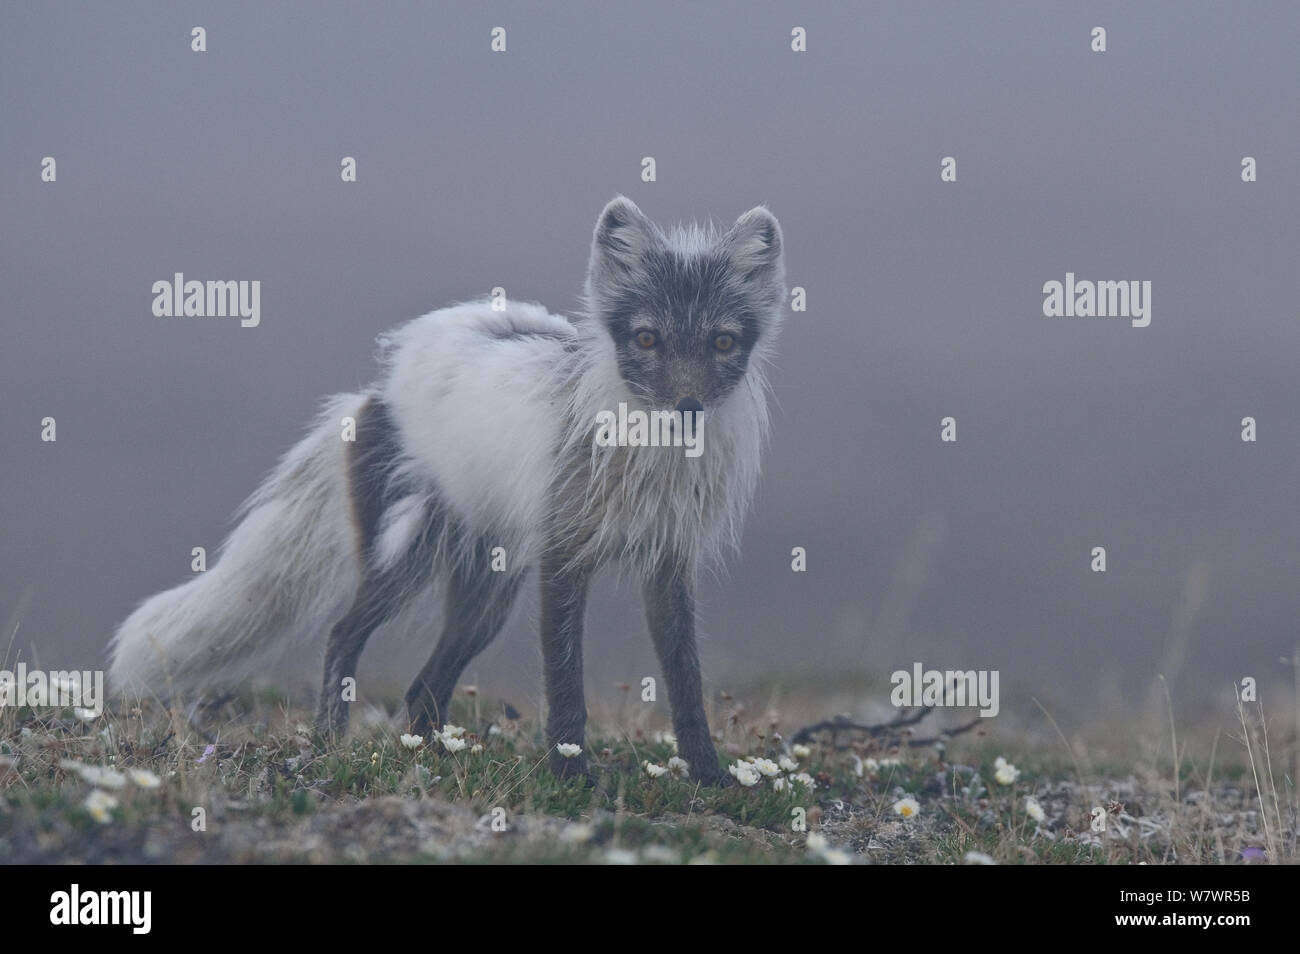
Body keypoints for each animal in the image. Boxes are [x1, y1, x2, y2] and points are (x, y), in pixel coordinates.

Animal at [108, 196, 786, 784]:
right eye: (647, 339)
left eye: (723, 342)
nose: (688, 410)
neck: (647, 456)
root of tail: (375, 393)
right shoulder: (564, 561)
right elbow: (565, 685)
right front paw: (571, 775)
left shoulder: (669, 566)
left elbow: (687, 684)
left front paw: (710, 776)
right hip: (404, 562)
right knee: (343, 635)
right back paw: (330, 741)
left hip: (488, 597)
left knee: (423, 690)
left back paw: (433, 757)